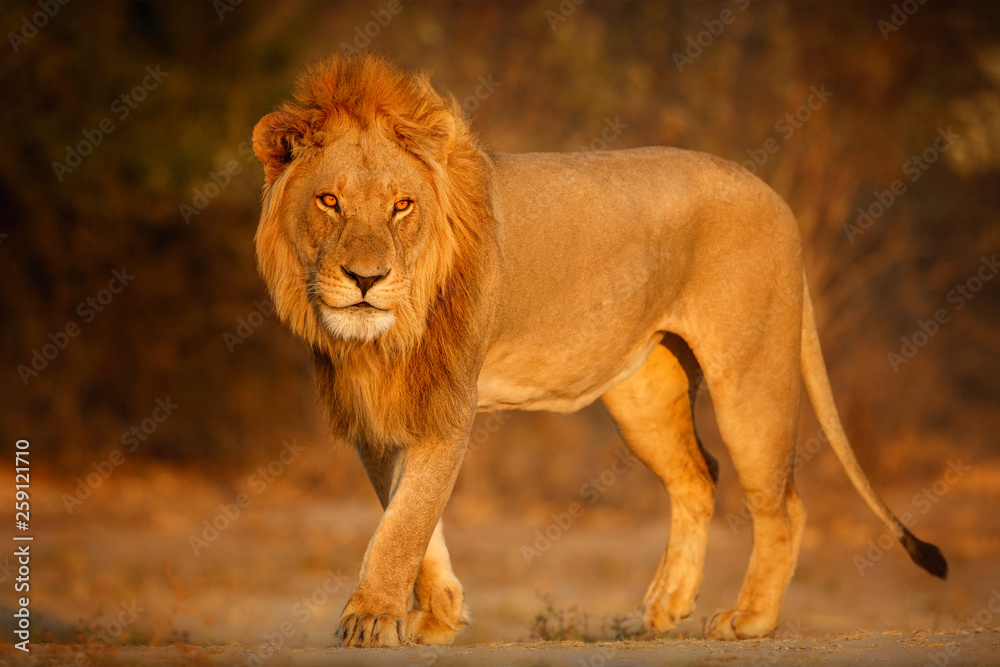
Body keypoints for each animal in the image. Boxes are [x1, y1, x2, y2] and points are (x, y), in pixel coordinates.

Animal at [250, 54, 947, 647]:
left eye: (402, 206)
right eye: (329, 200)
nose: (366, 280)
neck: (384, 339)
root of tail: (774, 196)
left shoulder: (447, 402)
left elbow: (405, 521)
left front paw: (372, 618)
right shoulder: (373, 410)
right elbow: (408, 516)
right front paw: (439, 615)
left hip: (751, 375)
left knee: (782, 501)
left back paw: (749, 618)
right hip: (644, 394)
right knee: (699, 476)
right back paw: (666, 605)